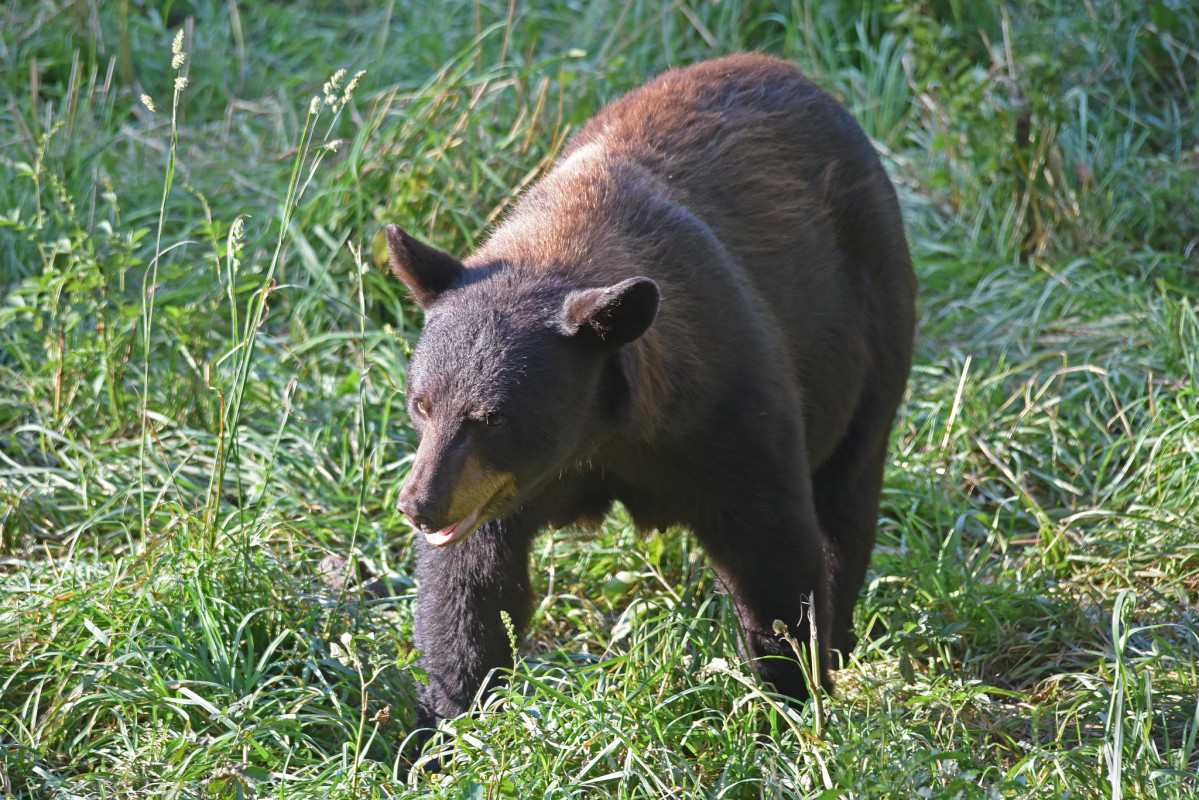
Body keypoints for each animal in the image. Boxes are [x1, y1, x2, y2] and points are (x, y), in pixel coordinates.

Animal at [385, 53, 916, 731]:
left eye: (494, 417)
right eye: (422, 403)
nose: (418, 506)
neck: (605, 434)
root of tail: (799, 74)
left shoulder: (729, 408)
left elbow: (774, 554)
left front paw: (793, 700)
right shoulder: (497, 488)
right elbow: (471, 591)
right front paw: (452, 723)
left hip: (874, 333)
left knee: (848, 496)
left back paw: (840, 642)